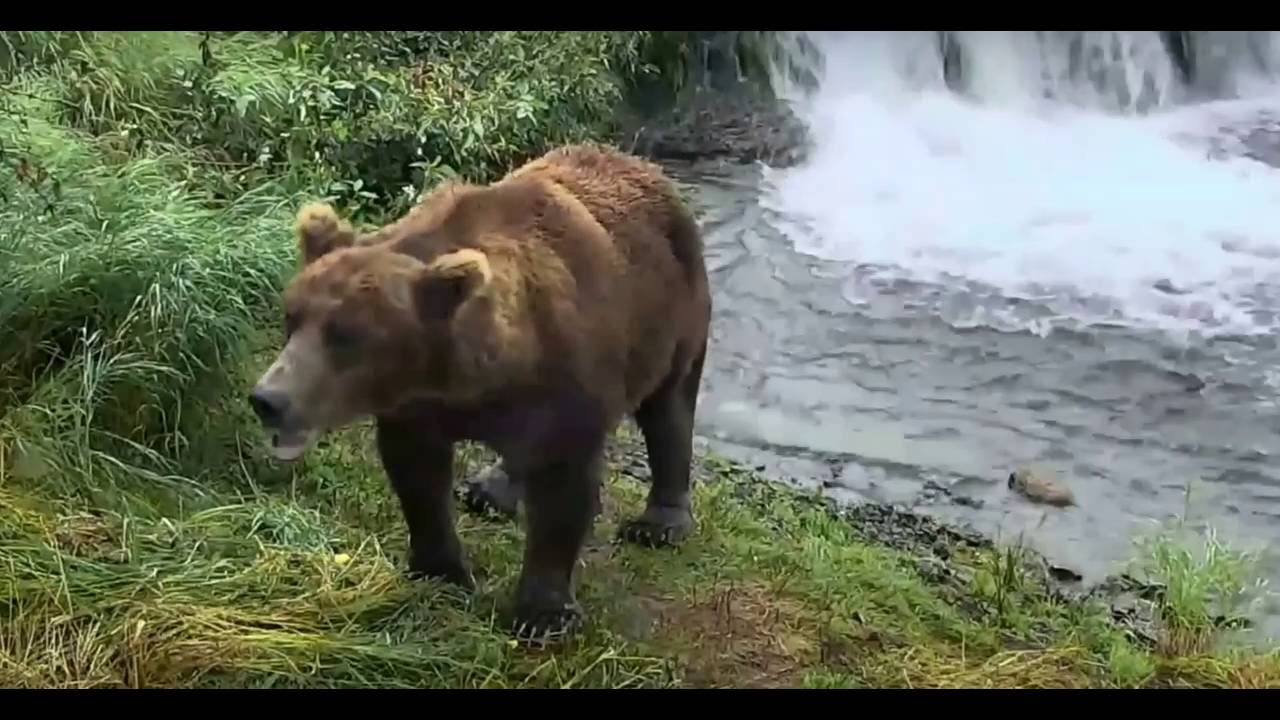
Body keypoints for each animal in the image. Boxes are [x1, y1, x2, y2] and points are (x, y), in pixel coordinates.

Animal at [248, 142, 712, 642]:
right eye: (292, 317)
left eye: (346, 335)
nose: (269, 400)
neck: (470, 373)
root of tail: (645, 167)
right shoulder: (419, 406)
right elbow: (417, 475)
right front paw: (440, 569)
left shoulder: (569, 386)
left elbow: (564, 490)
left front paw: (544, 614)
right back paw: (490, 489)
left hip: (674, 314)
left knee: (669, 409)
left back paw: (659, 523)